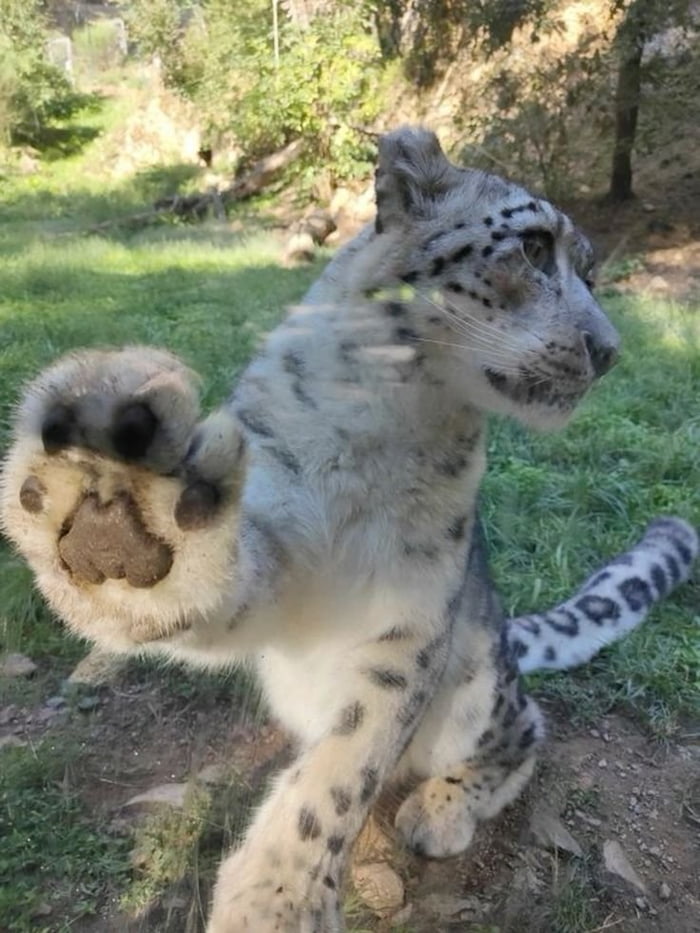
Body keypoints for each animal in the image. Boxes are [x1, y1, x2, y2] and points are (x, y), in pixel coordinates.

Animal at [1, 127, 697, 933]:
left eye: (588, 270)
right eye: (531, 245)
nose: (608, 349)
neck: (388, 408)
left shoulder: (412, 612)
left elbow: (349, 761)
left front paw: (277, 899)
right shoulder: (277, 542)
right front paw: (112, 512)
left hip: (478, 681)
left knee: (524, 729)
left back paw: (440, 808)